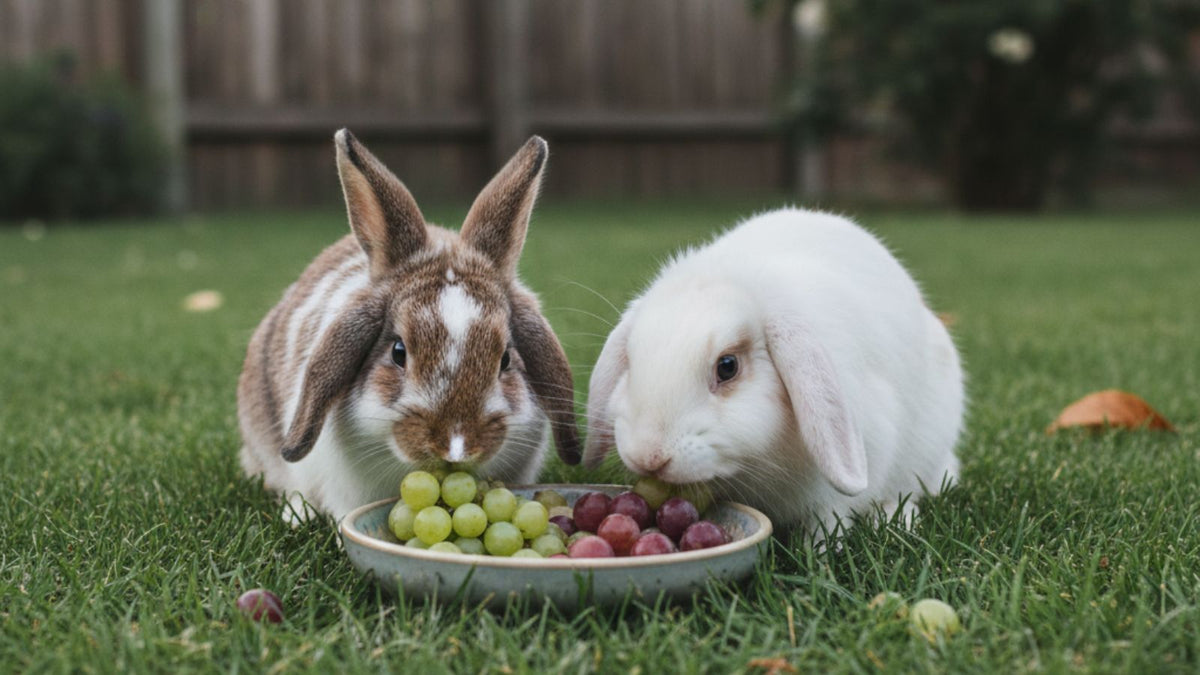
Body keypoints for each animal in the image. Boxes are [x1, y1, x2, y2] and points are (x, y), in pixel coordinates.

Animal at [583, 207, 963, 536]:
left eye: (727, 367)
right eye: (630, 362)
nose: (648, 457)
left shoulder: (842, 482)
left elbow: (829, 523)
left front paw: (819, 555)